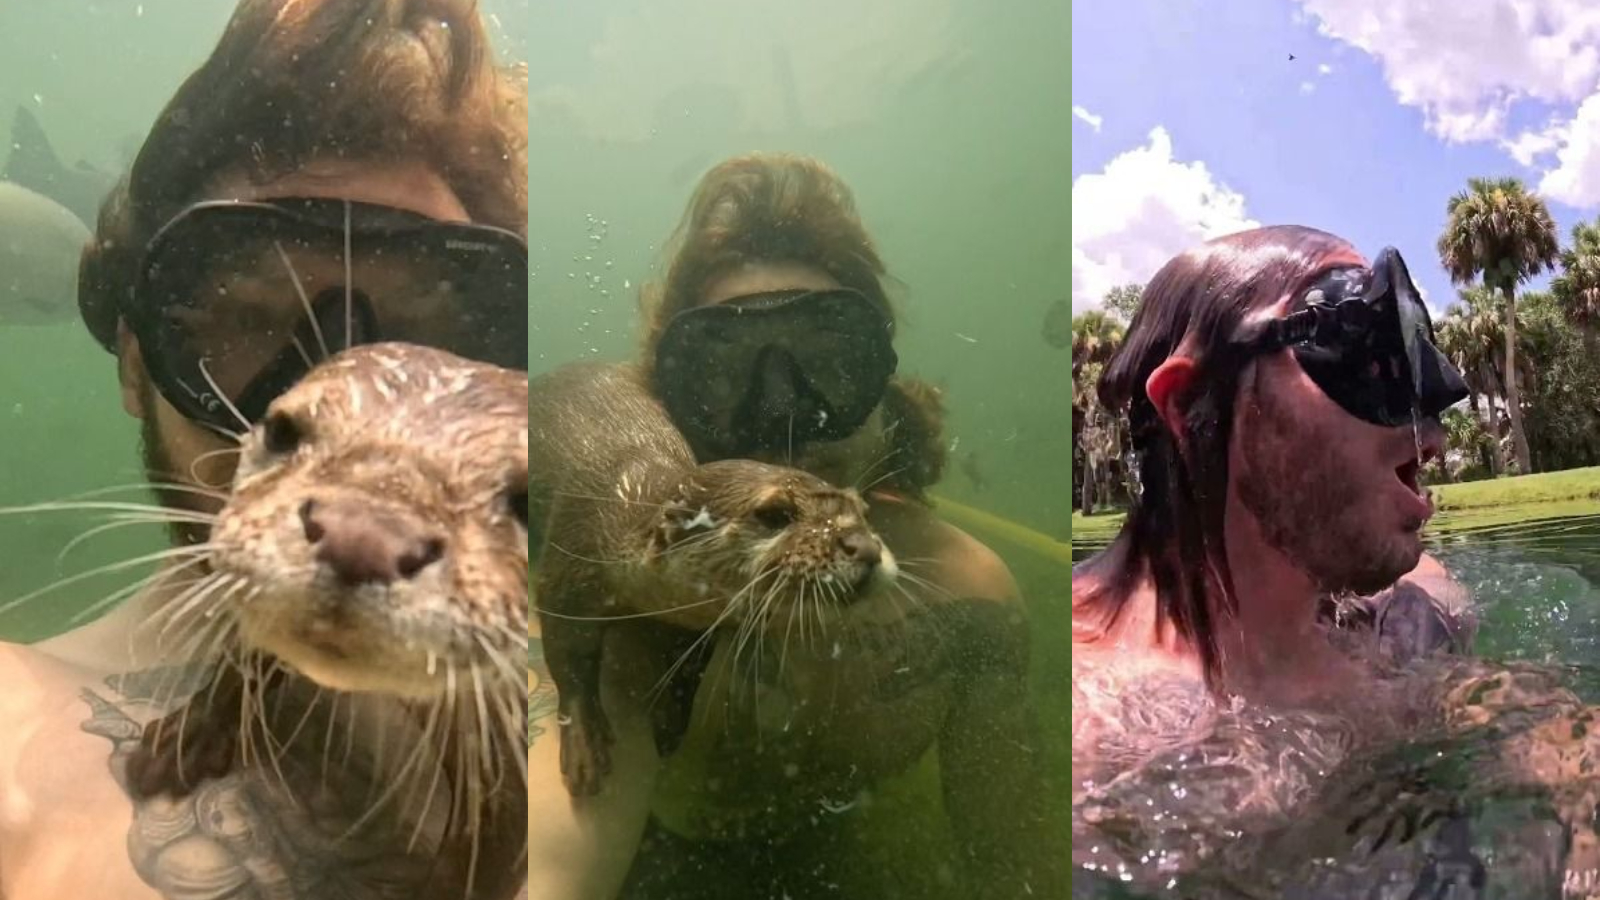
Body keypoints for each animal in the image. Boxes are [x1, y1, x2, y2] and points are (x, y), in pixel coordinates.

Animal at [529, 360, 897, 798]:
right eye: (775, 513)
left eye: (863, 512)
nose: (865, 547)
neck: (622, 504)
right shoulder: (569, 564)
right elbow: (567, 655)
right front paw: (584, 742)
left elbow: (688, 670)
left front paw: (670, 723)